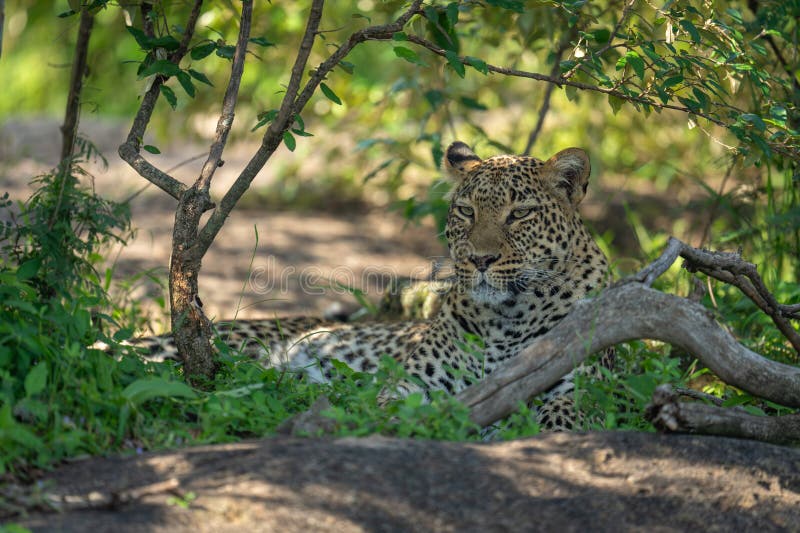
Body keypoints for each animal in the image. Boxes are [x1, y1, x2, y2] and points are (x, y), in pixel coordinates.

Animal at [128, 141, 612, 430]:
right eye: (466, 211)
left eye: (520, 214)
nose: (479, 260)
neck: (507, 318)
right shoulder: (415, 384)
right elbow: (389, 408)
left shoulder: (576, 387)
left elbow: (560, 419)